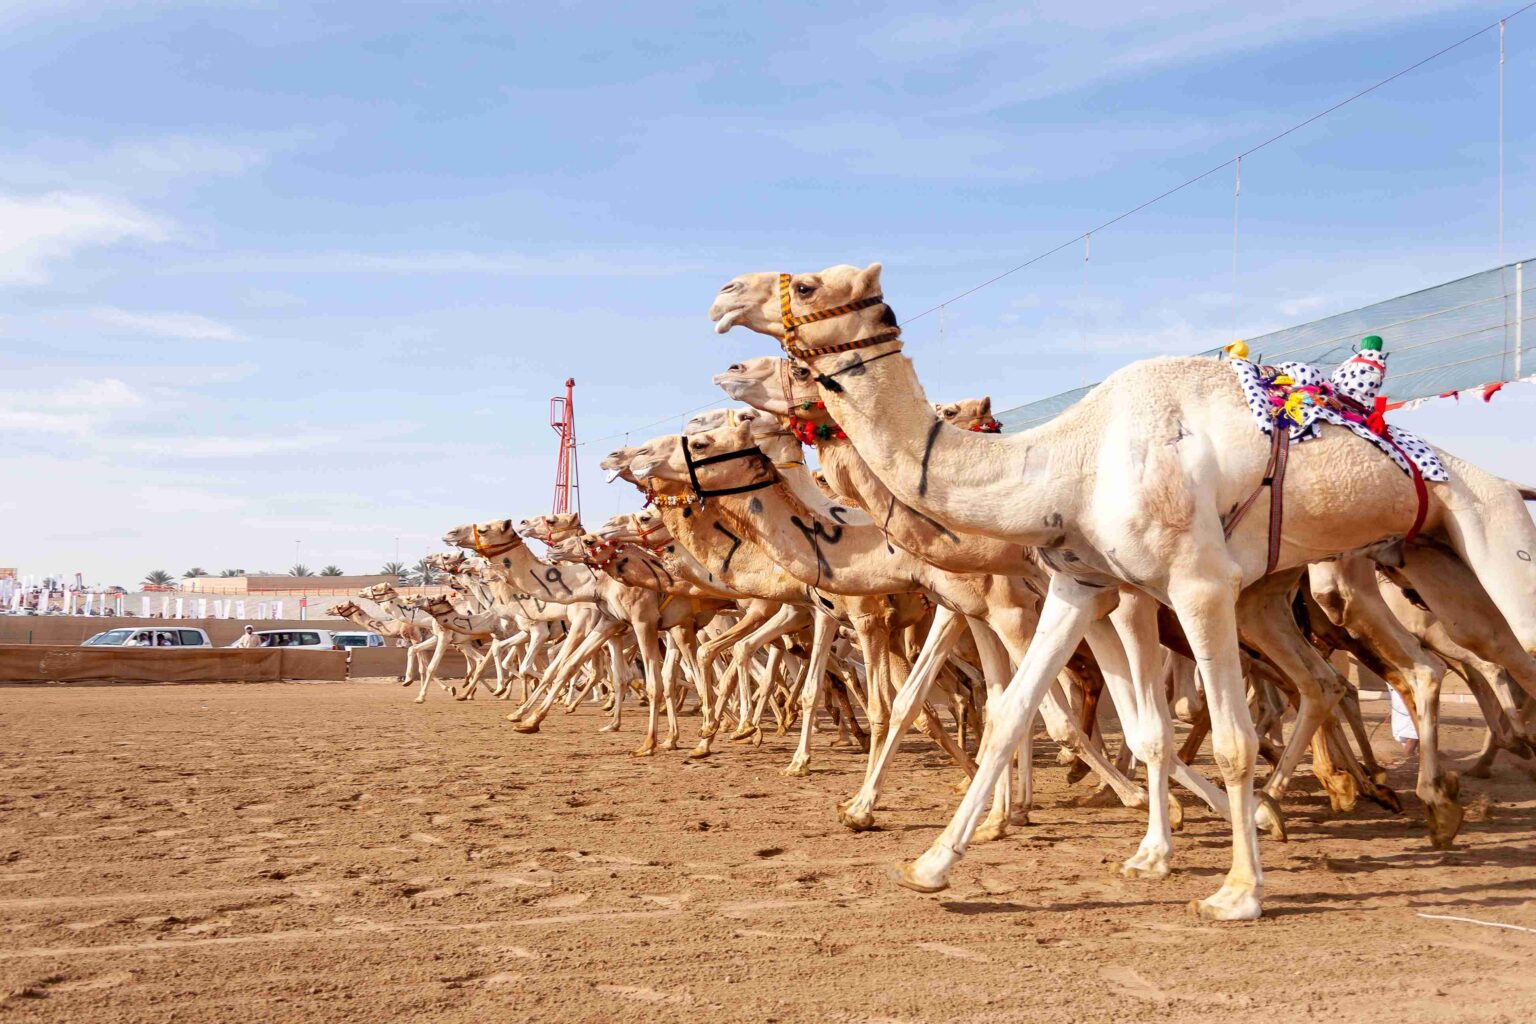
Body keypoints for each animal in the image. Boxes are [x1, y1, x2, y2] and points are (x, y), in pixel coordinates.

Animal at [709, 262, 1536, 919]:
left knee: (1468, 662)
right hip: (1380, 573)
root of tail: (1502, 483)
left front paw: (1236, 889)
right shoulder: (1079, 585)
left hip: (1486, 546)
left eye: (806, 283)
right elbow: (1019, 713)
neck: (1066, 462)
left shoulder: (1188, 587)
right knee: (1350, 677)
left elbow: (1214, 734)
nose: (722, 297)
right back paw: (1421, 807)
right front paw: (933, 863)